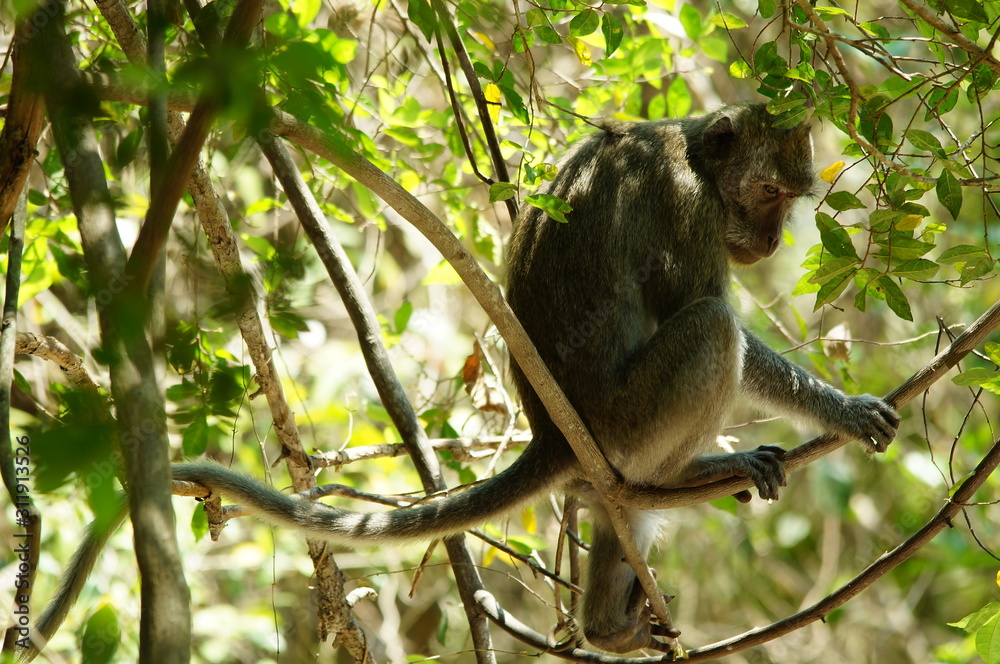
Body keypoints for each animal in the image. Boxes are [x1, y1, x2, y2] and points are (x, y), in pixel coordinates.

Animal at [27, 103, 899, 659]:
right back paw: (681, 475)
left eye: (790, 198)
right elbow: (716, 316)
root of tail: (552, 435)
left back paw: (604, 602)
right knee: (710, 332)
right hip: (628, 421)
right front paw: (842, 409)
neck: (691, 154)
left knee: (617, 499)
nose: (772, 239)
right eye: (768, 192)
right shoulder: (692, 214)